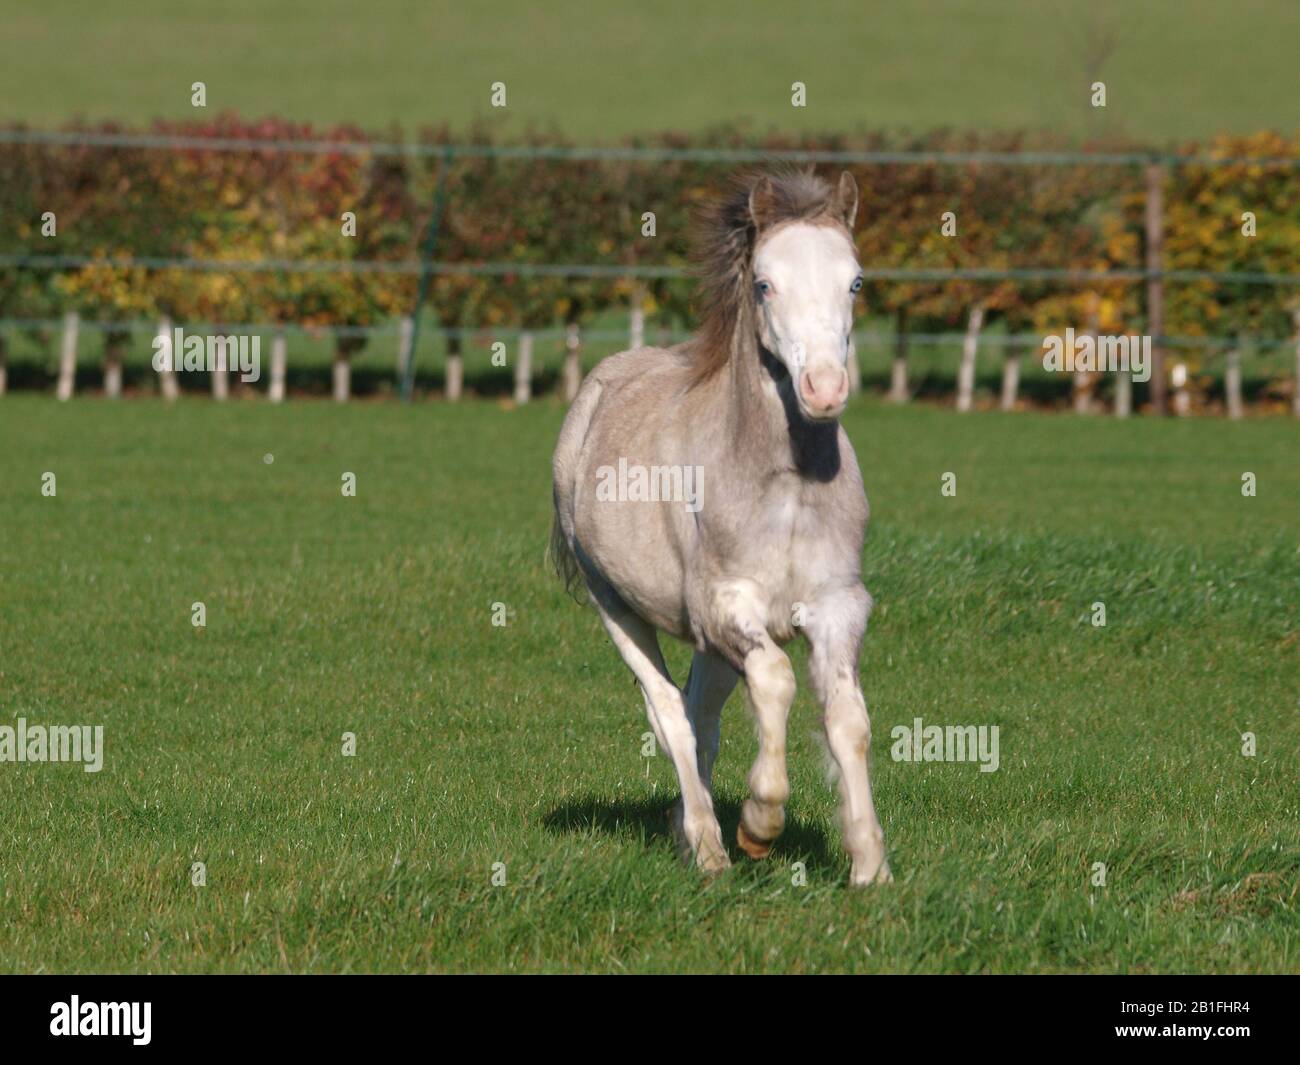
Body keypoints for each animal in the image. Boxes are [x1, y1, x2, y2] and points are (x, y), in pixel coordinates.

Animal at [550, 170, 890, 886]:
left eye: (855, 281)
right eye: (764, 283)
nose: (824, 389)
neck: (784, 488)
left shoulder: (838, 606)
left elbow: (848, 719)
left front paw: (870, 866)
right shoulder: (723, 607)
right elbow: (777, 682)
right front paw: (760, 825)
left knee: (699, 712)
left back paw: (688, 833)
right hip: (614, 603)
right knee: (670, 714)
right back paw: (708, 847)